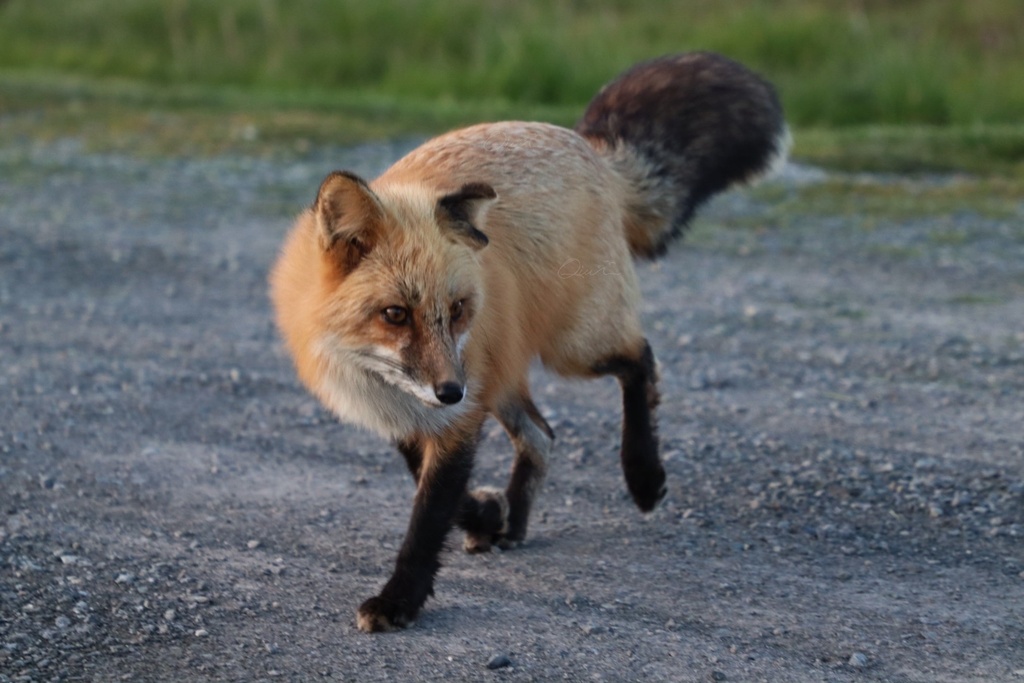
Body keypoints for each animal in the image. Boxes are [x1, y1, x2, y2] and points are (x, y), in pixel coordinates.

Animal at [269, 51, 789, 632]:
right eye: (395, 315)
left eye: (457, 310)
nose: (451, 391)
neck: (368, 372)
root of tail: (585, 145)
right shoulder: (412, 413)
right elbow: (433, 483)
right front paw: (487, 513)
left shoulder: (454, 411)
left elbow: (428, 517)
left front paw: (400, 599)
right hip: (501, 375)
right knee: (542, 436)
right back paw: (513, 522)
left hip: (571, 348)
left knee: (642, 361)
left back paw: (643, 474)